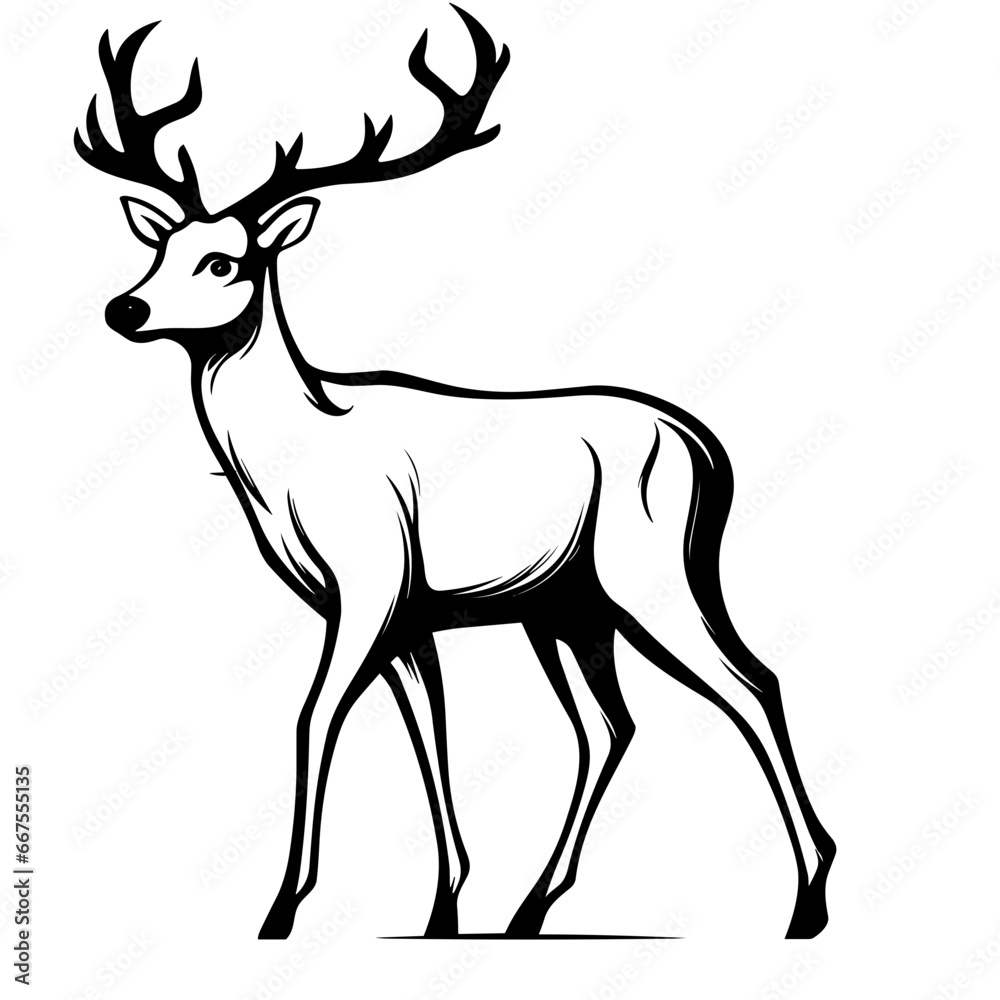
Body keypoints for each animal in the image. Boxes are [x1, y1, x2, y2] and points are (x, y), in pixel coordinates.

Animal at [75, 8, 835, 940]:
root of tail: (703, 445)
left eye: (227, 262)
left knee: (752, 682)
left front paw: (281, 908)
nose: (126, 308)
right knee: (610, 725)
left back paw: (808, 899)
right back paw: (530, 907)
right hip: (566, 606)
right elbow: (428, 733)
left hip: (650, 569)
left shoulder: (370, 581)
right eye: (164, 247)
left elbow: (314, 718)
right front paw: (444, 905)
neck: (287, 467)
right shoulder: (410, 613)